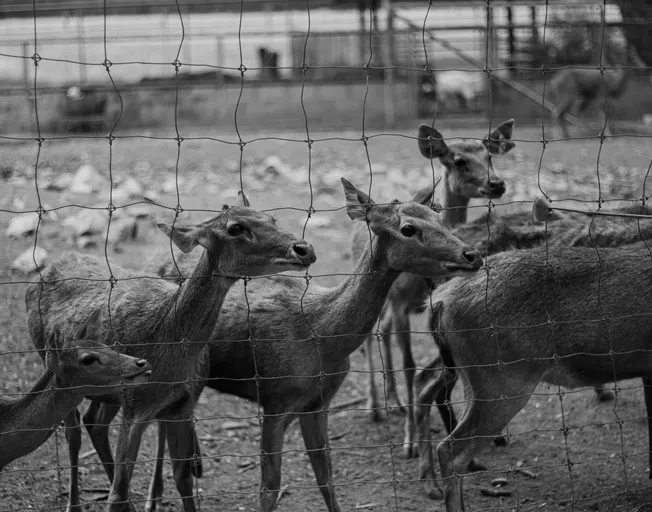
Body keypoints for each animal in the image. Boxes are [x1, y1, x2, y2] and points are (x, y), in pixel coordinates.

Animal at [25, 191, 316, 512]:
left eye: (271, 218)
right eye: (236, 228)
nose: (304, 249)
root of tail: (41, 273)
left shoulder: (183, 404)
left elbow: (183, 478)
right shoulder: (136, 406)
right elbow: (116, 493)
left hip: (108, 392)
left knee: (95, 421)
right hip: (57, 367)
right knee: (73, 433)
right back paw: (74, 503)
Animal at [139, 178, 483, 511]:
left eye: (439, 216)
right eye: (408, 228)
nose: (473, 255)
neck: (320, 337)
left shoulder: (318, 403)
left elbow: (326, 478)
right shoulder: (275, 400)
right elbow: (268, 490)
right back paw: (154, 496)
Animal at [349, 119, 515, 460]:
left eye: (489, 156)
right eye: (458, 160)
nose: (496, 184)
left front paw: (495, 435)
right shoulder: (400, 303)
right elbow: (411, 366)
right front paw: (410, 443)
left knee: (383, 331)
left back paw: (396, 401)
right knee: (371, 337)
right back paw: (375, 407)